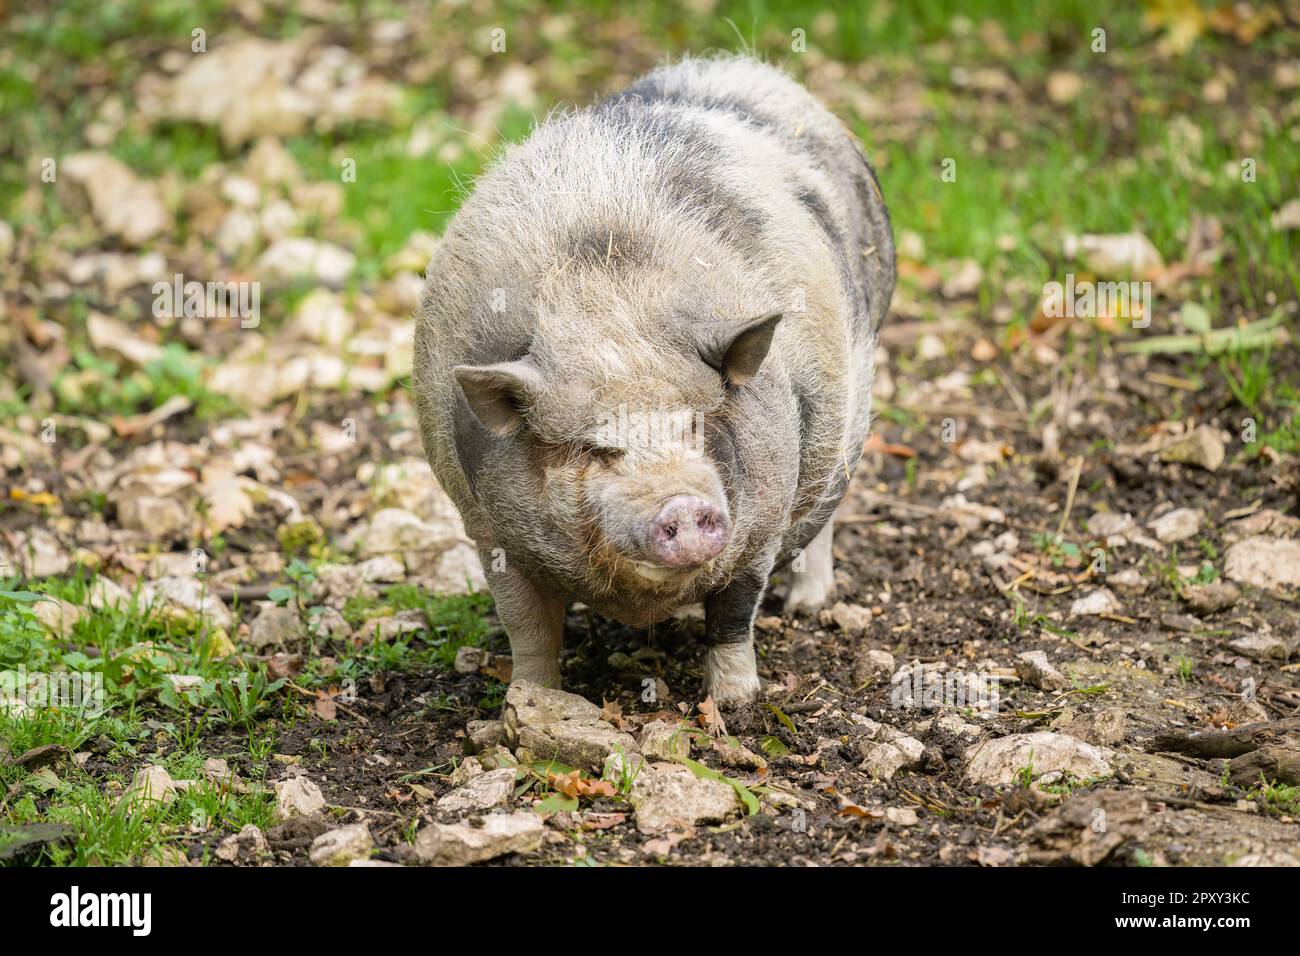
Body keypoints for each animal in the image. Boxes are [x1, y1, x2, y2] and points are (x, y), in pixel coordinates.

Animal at [413, 54, 895, 704]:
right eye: (597, 449)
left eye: (695, 426)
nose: (684, 504)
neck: (612, 313)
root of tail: (752, 72)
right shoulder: (487, 530)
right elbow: (528, 629)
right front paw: (528, 701)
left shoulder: (761, 526)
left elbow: (734, 617)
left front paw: (736, 703)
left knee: (827, 513)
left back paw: (808, 607)